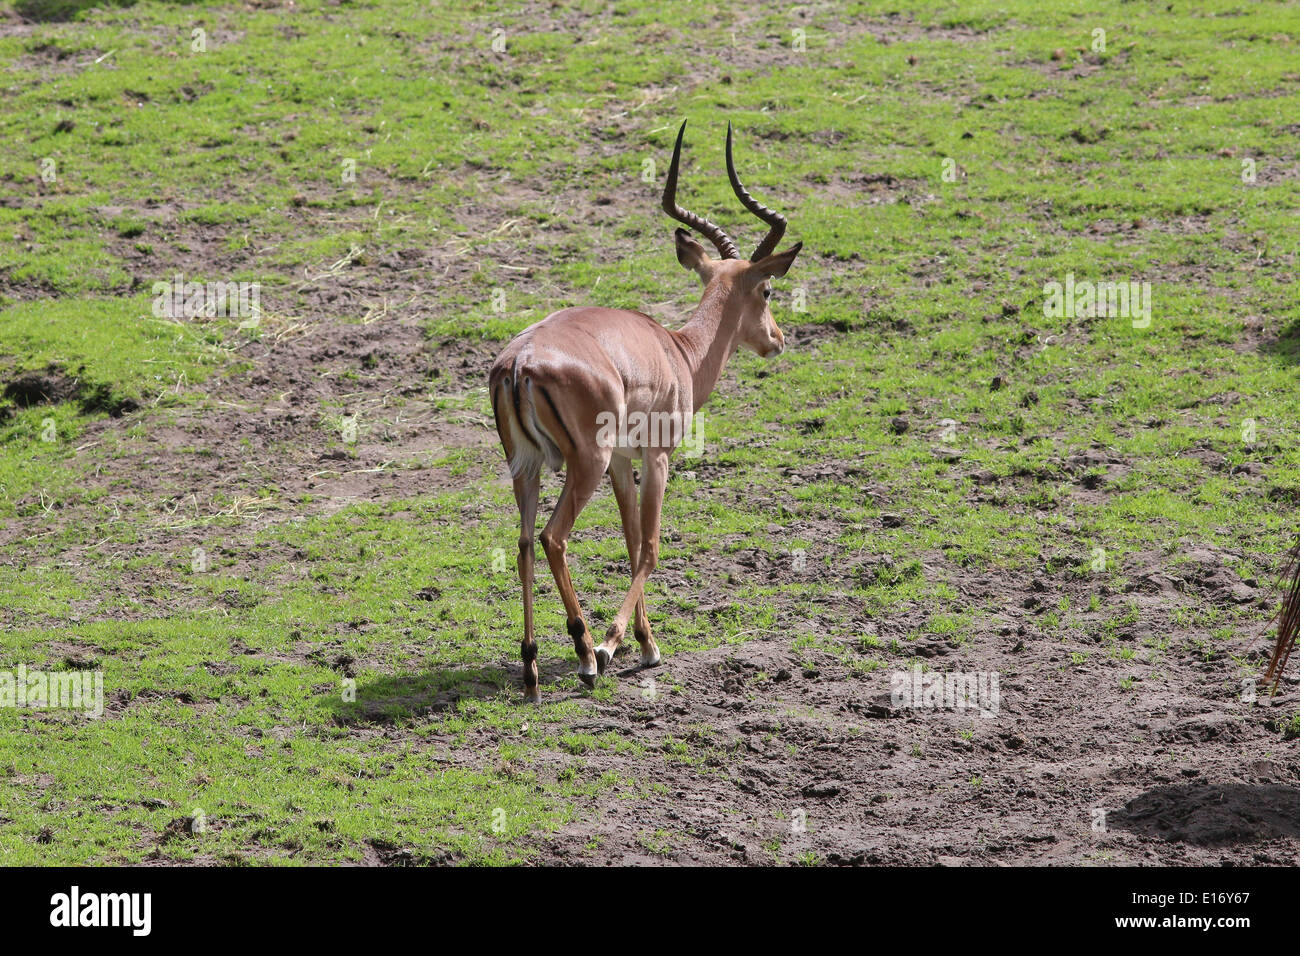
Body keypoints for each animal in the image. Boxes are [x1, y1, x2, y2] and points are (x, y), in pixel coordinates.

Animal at [488, 120, 801, 701]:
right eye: (768, 288)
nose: (778, 339)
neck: (680, 352)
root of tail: (519, 362)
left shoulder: (622, 462)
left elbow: (632, 542)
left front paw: (647, 644)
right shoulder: (657, 457)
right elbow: (651, 547)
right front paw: (615, 646)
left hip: (527, 467)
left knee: (522, 544)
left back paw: (532, 671)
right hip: (582, 464)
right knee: (552, 537)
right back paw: (586, 653)